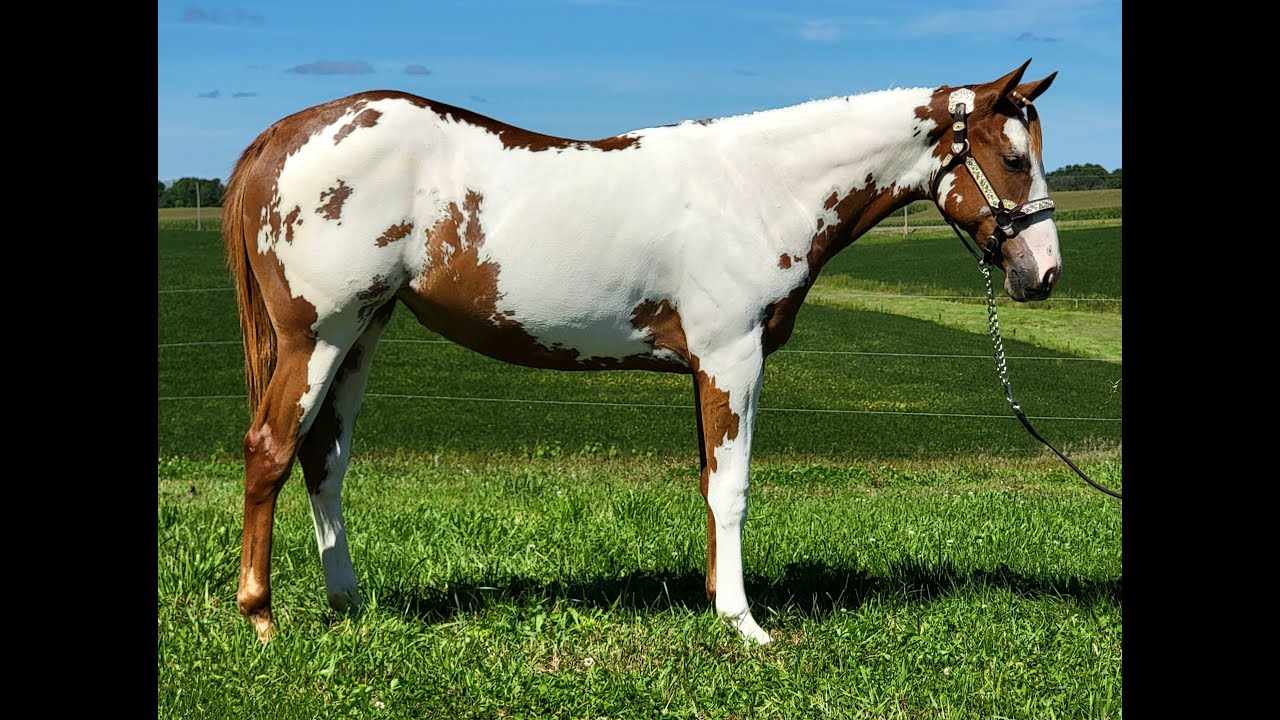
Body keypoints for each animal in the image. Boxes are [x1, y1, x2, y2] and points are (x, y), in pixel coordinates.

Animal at [223, 59, 1061, 645]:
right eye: (1015, 159)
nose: (1043, 274)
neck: (760, 187)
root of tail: (283, 135)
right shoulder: (732, 360)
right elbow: (733, 489)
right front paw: (745, 624)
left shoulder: (705, 368)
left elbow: (709, 485)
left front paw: (716, 601)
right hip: (318, 336)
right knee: (270, 449)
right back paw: (260, 616)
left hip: (362, 334)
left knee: (324, 460)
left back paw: (348, 601)